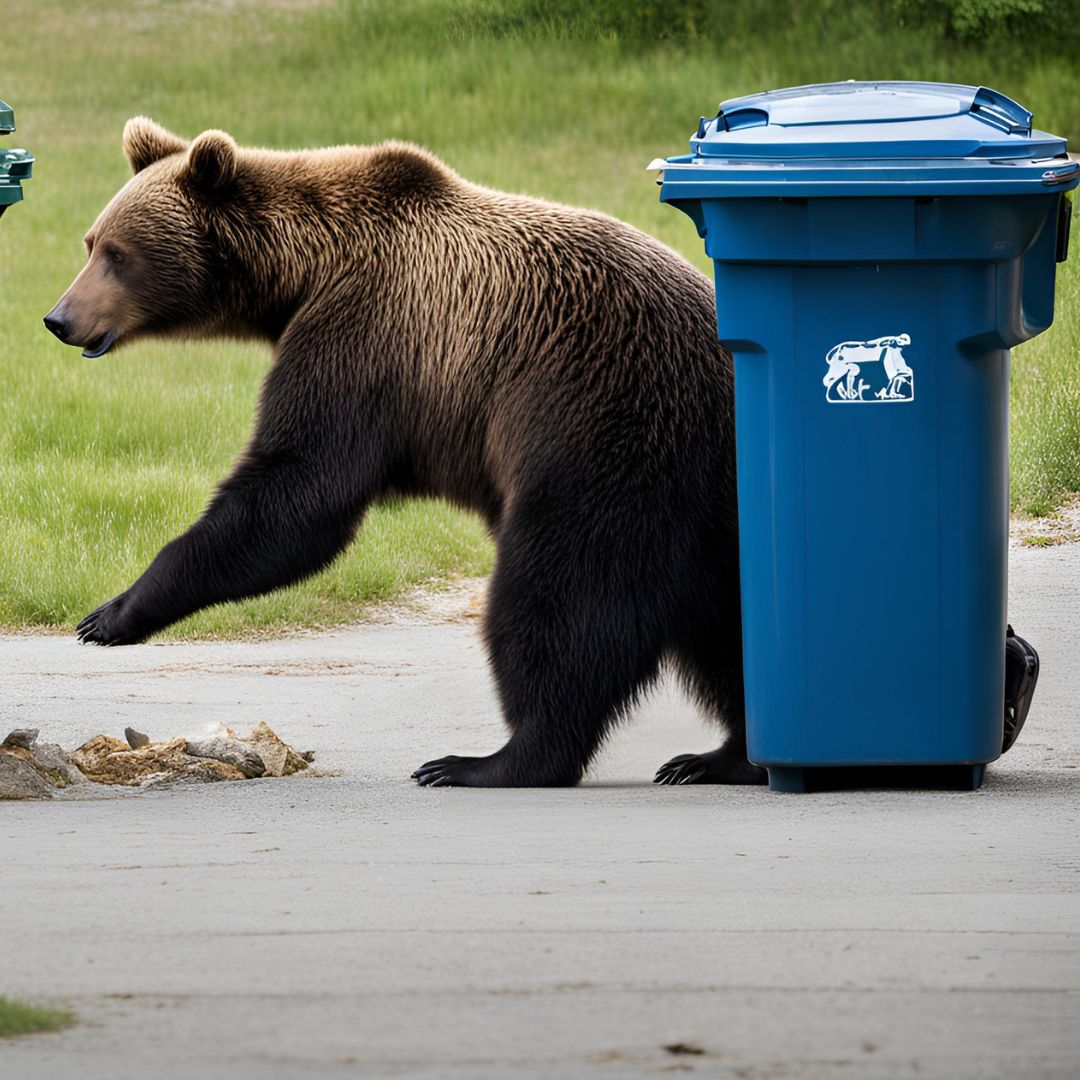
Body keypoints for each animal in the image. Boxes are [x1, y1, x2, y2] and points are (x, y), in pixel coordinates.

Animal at [44, 118, 764, 788]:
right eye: (91, 242)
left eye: (119, 253)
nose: (59, 318)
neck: (302, 275)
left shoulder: (367, 334)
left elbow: (298, 490)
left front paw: (111, 613)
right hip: (718, 499)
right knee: (731, 626)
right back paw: (719, 757)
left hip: (607, 431)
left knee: (558, 595)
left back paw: (492, 760)